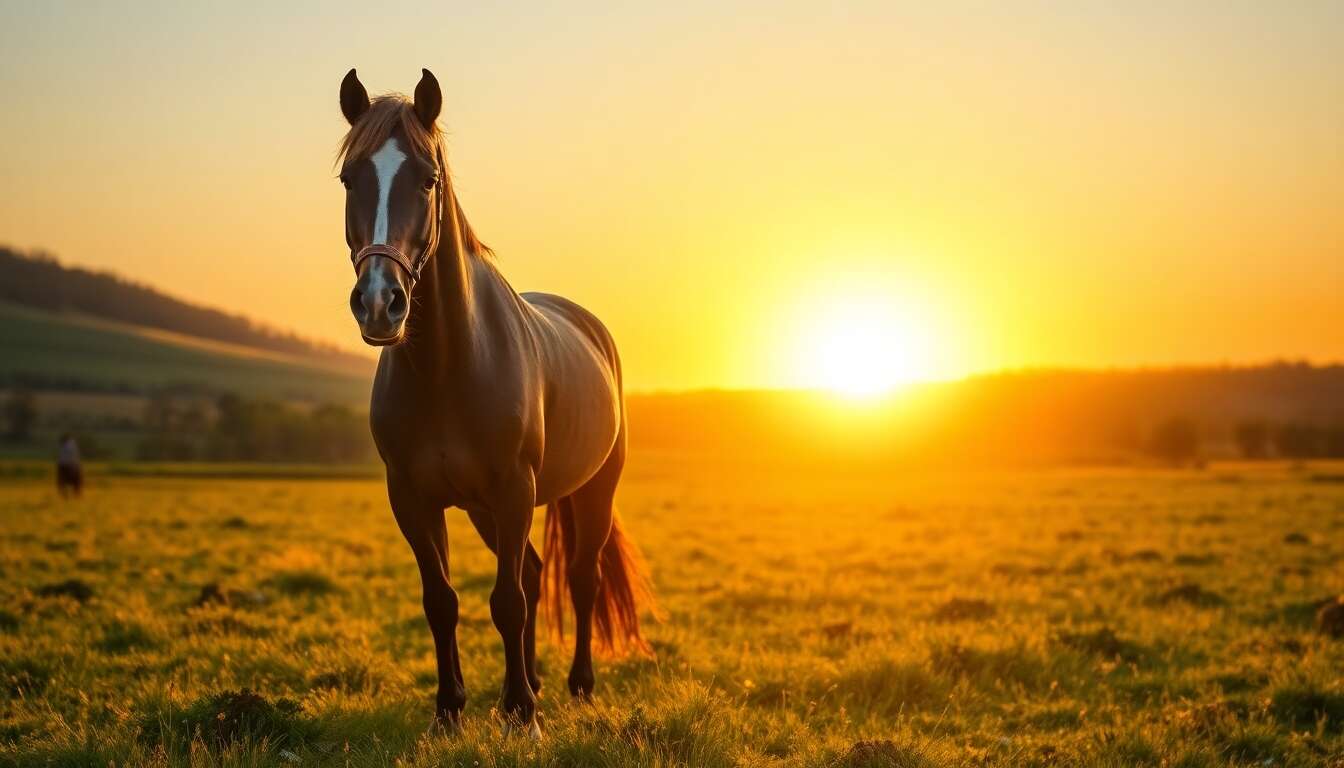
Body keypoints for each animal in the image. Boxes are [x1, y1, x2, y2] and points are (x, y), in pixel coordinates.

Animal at [334, 68, 653, 736]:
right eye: (351, 177)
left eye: (427, 179)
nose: (379, 303)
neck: (448, 368)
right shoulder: (413, 498)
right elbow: (443, 600)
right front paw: (451, 709)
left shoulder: (513, 489)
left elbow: (507, 601)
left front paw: (522, 715)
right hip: (487, 509)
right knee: (532, 570)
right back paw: (526, 682)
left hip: (592, 489)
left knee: (578, 579)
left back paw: (575, 686)